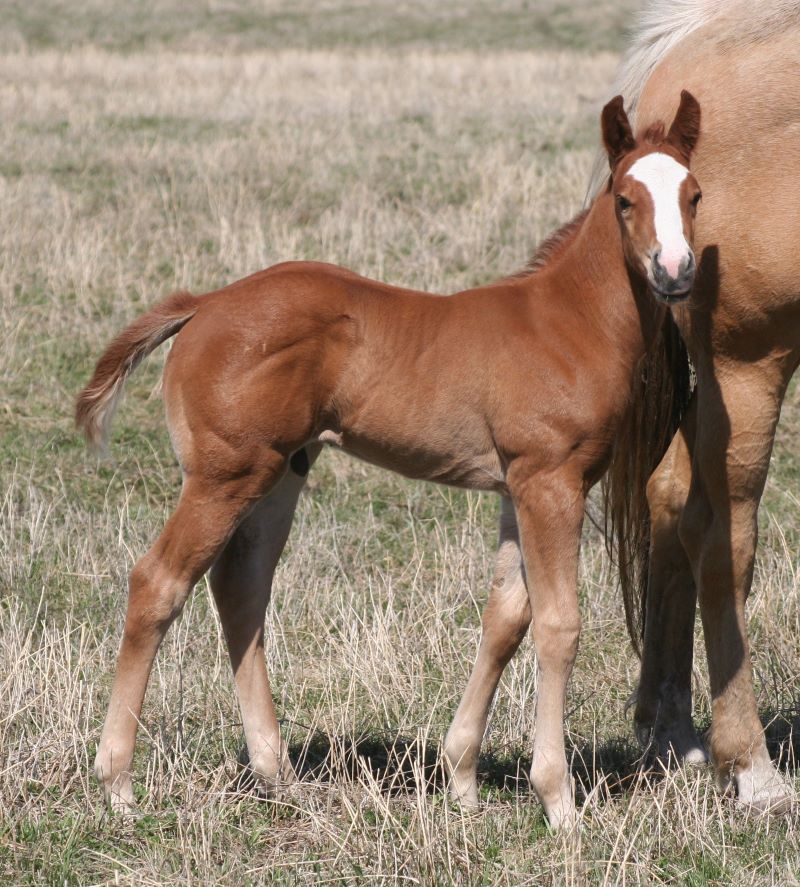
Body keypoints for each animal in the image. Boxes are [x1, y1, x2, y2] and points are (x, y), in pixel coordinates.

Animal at [77, 94, 702, 828]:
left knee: (241, 588)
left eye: (693, 194)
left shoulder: (516, 487)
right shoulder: (551, 480)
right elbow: (557, 624)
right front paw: (558, 801)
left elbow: (505, 619)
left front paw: (461, 778)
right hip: (223, 475)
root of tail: (204, 306)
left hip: (279, 472)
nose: (676, 270)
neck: (567, 322)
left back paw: (277, 773)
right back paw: (118, 780)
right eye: (627, 200)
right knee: (158, 583)